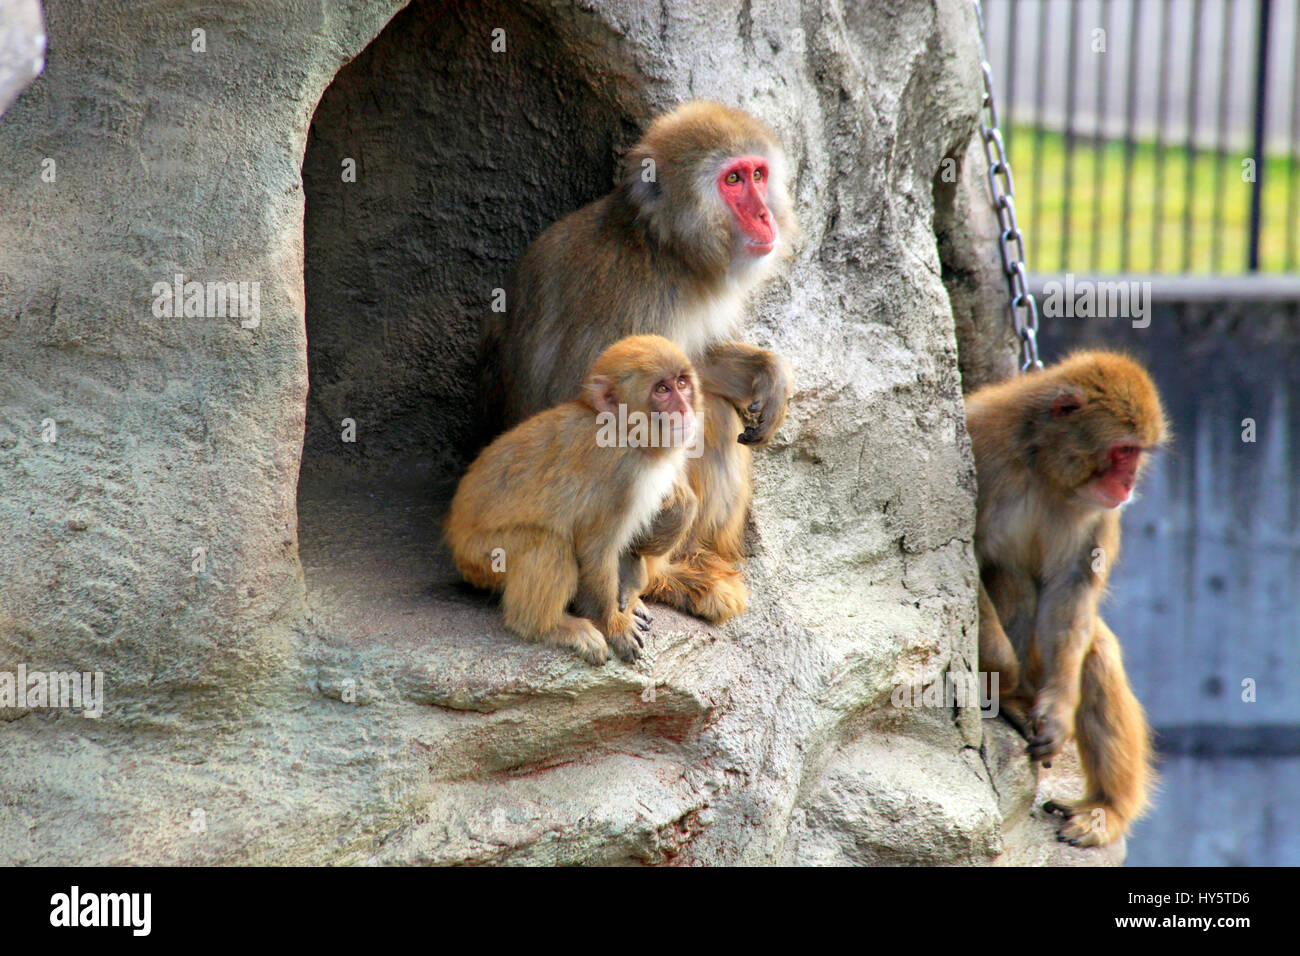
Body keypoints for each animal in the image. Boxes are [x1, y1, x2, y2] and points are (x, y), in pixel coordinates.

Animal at [447, 335, 701, 666]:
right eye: (662, 390)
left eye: (681, 383)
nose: (684, 410)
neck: (624, 431)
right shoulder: (619, 472)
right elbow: (596, 549)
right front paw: (612, 623)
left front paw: (630, 586)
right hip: (480, 554)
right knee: (549, 544)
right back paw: (548, 626)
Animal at [479, 100, 797, 625]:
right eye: (733, 181)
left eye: (757, 174)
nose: (764, 214)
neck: (661, 246)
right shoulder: (631, 298)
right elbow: (590, 414)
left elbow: (694, 364)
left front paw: (768, 374)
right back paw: (659, 576)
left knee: (712, 411)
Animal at [965, 350, 1167, 847]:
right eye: (1123, 451)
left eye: (1136, 454)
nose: (1128, 483)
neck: (1043, 469)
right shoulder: (977, 448)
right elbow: (967, 559)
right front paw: (1007, 686)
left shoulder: (1100, 512)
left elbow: (1071, 590)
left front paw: (1055, 711)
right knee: (1011, 579)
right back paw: (1012, 695)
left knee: (1094, 654)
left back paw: (1106, 810)